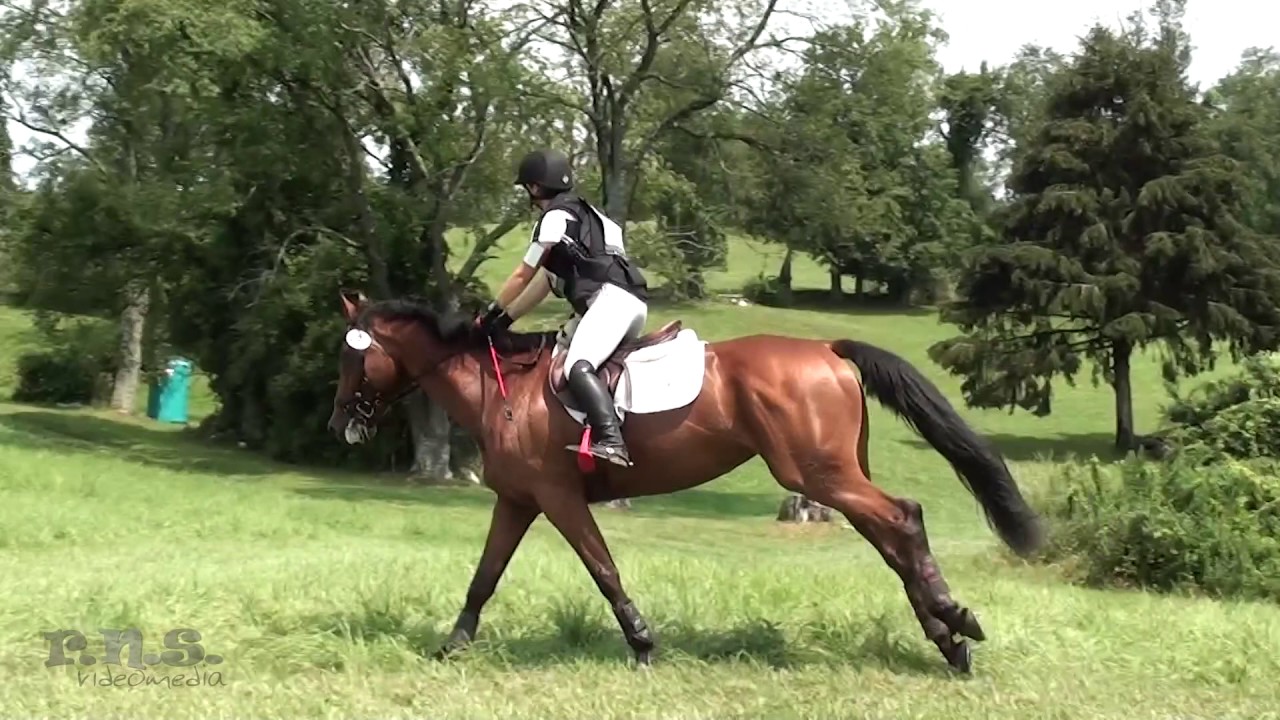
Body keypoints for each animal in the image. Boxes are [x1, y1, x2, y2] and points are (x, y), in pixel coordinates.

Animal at [327, 289, 1044, 674]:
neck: (499, 393)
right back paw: (949, 639)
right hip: (834, 472)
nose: (339, 423)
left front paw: (643, 644)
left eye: (351, 355)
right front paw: (452, 646)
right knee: (892, 534)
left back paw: (955, 623)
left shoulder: (558, 499)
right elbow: (485, 575)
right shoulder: (517, 500)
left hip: (817, 473)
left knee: (902, 517)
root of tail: (827, 349)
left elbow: (603, 569)